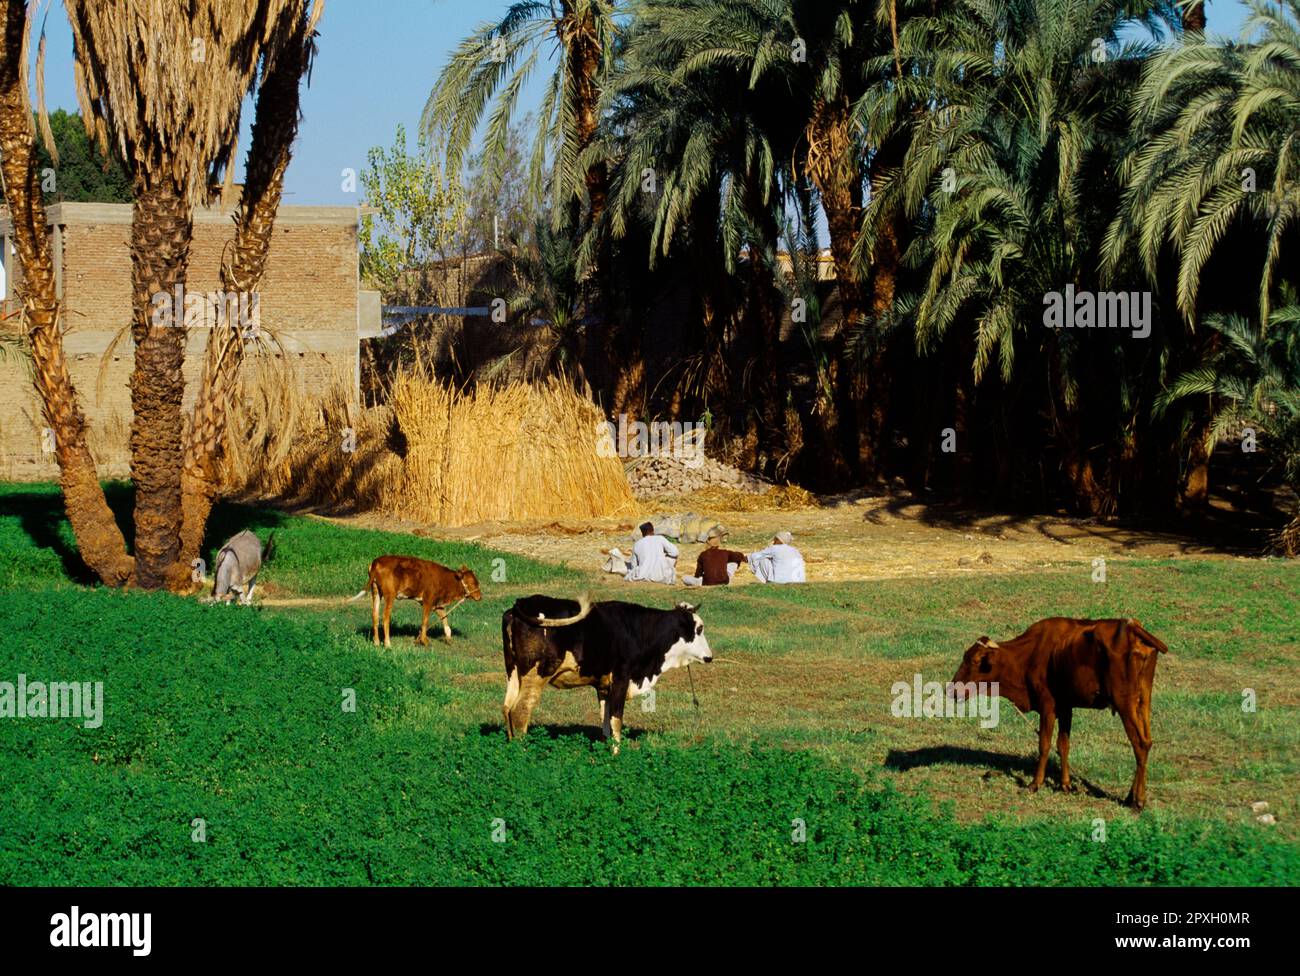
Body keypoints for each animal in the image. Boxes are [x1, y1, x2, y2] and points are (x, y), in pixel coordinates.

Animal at [351, 555, 482, 647]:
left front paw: (449, 638)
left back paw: (377, 642)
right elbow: (425, 621)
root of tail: (377, 561)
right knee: (385, 617)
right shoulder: (428, 601)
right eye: (472, 583)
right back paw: (388, 644)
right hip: (390, 595)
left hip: (376, 592)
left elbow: (444, 617)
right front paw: (424, 641)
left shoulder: (436, 604)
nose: (480, 596)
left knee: (375, 615)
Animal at [501, 595, 713, 752]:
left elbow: (605, 721)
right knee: (521, 711)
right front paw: (617, 755)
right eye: (699, 628)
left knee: (507, 709)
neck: (636, 629)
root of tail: (520, 603)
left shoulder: (603, 686)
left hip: (514, 674)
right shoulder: (621, 678)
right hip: (536, 675)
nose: (709, 657)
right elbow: (616, 720)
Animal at [949, 617, 1168, 809]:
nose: (951, 690)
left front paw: (1035, 783)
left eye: (975, 660)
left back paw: (1138, 800)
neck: (1030, 653)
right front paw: (1065, 784)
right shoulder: (1065, 707)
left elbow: (1044, 744)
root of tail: (1131, 626)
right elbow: (1063, 745)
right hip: (1143, 702)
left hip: (1125, 703)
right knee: (1147, 742)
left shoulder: (1048, 706)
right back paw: (1130, 796)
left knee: (1139, 744)